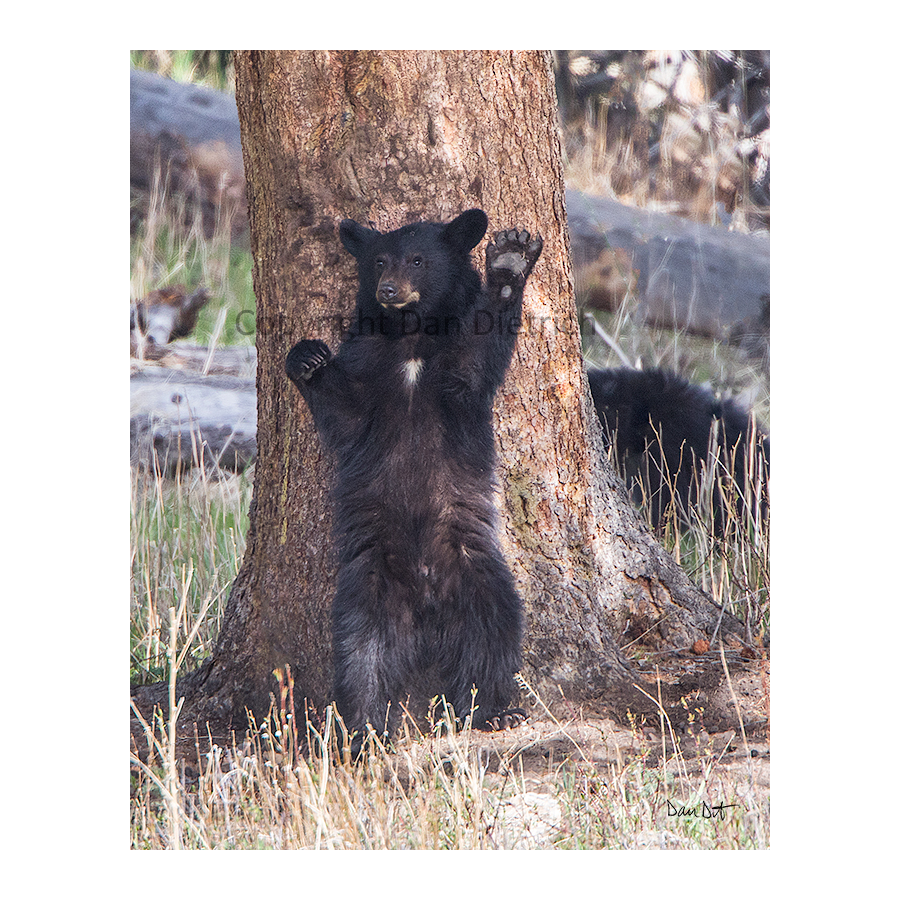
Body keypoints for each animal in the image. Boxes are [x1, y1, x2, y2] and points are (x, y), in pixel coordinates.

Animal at [286, 209, 543, 753]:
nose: (388, 290)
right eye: (380, 260)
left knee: (495, 631)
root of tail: (426, 601)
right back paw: (364, 726)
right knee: (360, 653)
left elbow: (475, 356)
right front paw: (307, 358)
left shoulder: (455, 379)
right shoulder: (367, 364)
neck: (410, 337)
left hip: (478, 570)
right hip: (368, 585)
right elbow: (345, 411)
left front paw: (509, 262)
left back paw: (492, 709)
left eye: (419, 260)